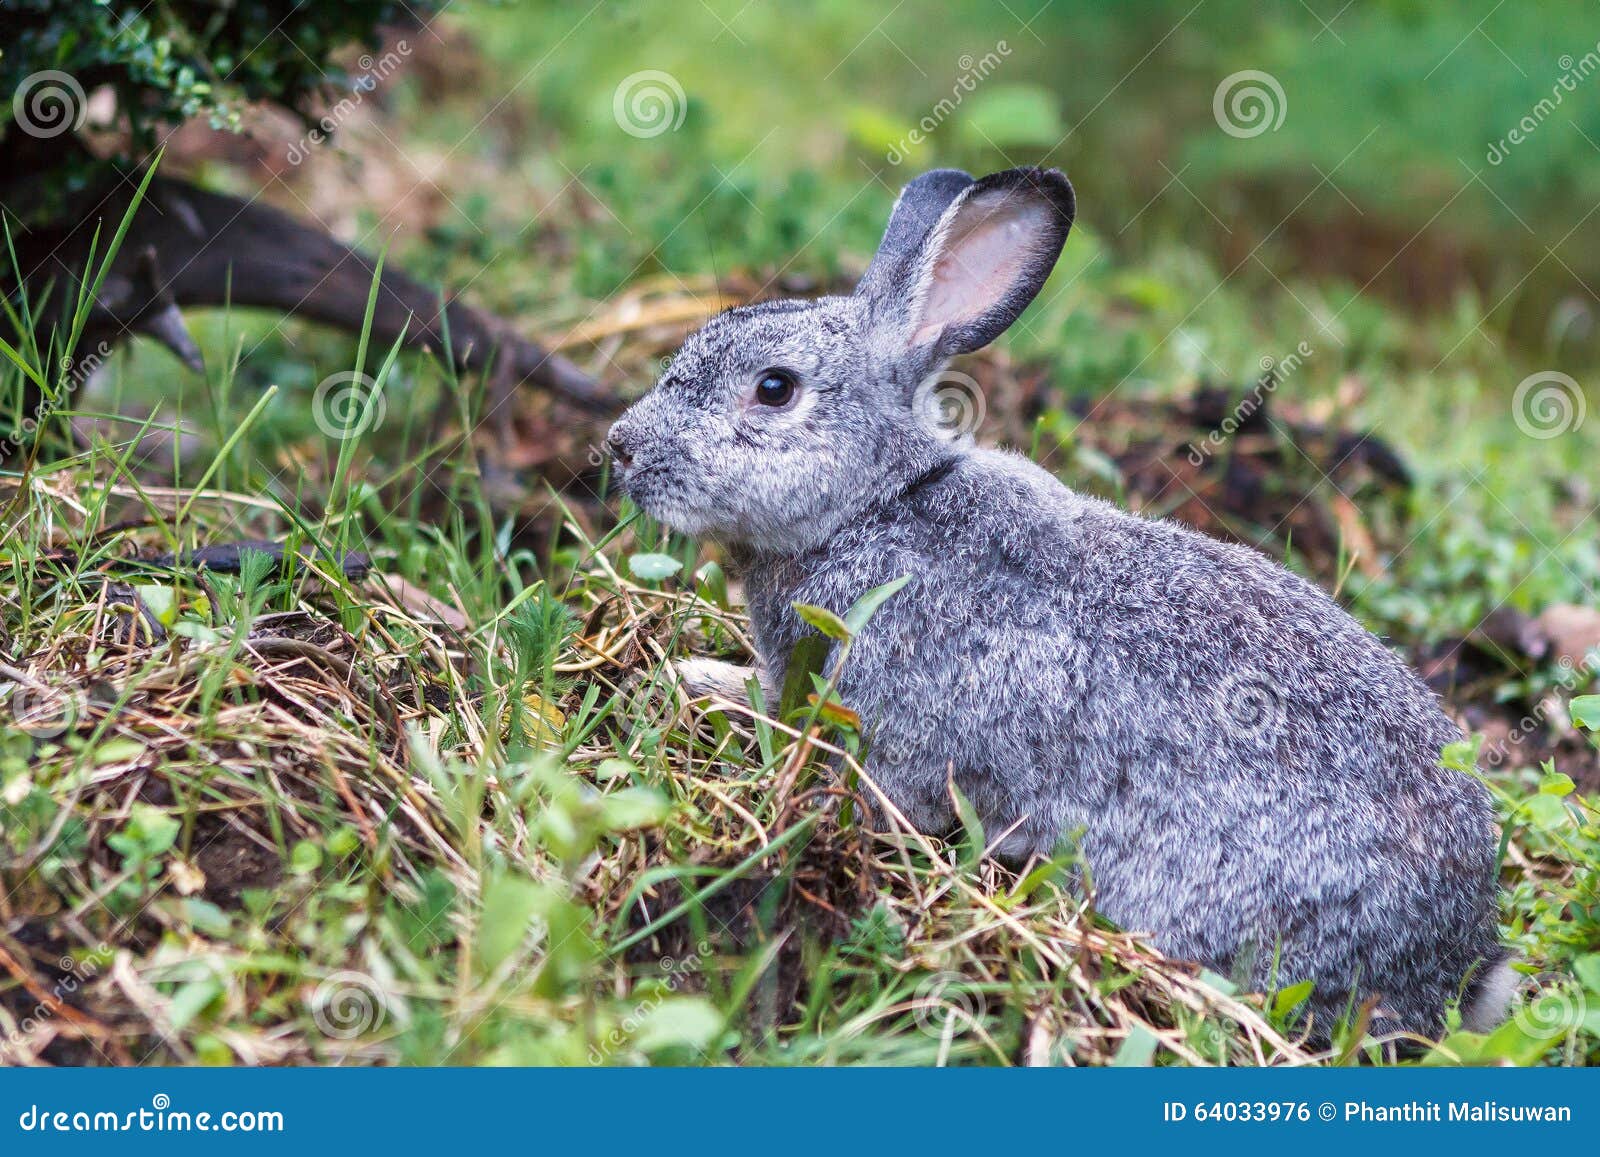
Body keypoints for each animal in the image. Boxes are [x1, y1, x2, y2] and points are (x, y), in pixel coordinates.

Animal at [606, 166, 1509, 1039]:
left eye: (774, 388)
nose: (620, 446)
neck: (875, 504)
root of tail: (1462, 961)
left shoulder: (899, 738)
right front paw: (699, 674)